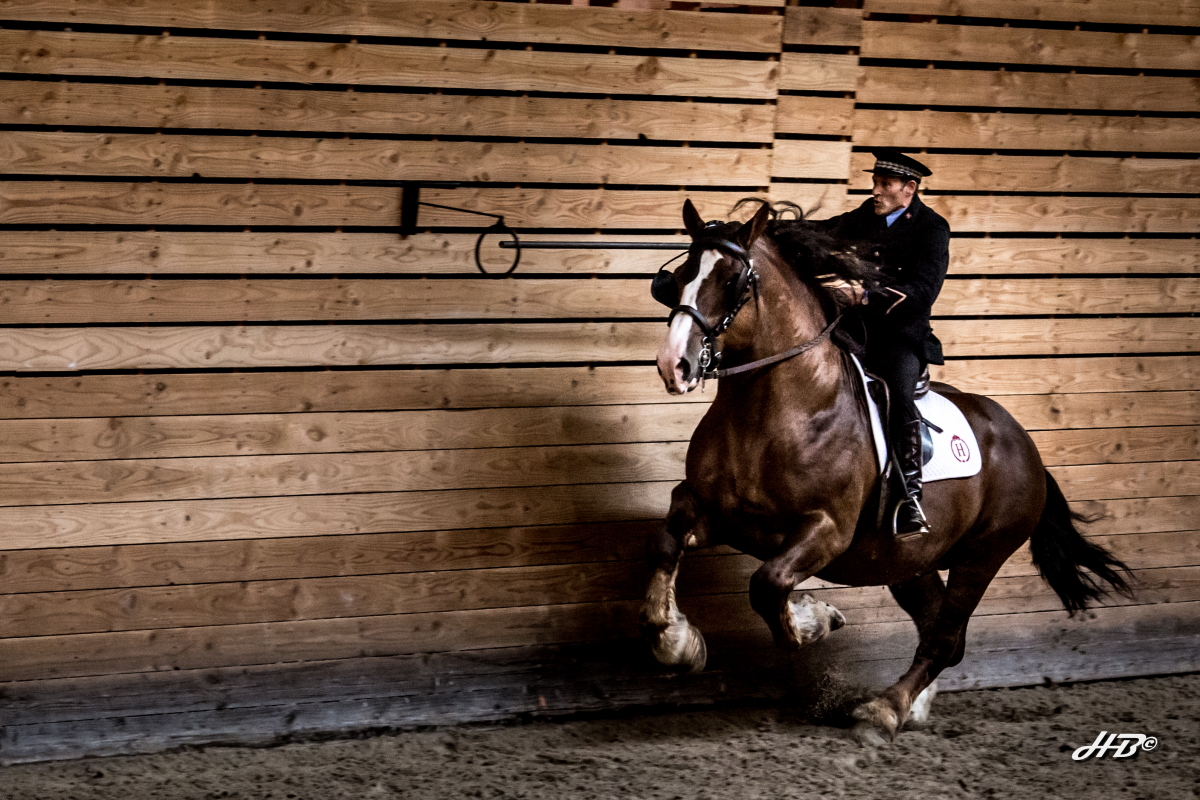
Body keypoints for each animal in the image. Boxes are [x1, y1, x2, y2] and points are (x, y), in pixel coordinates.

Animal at [640, 198, 1134, 744]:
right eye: (680, 274)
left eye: (733, 281)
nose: (674, 365)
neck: (777, 411)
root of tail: (1028, 449)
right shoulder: (716, 513)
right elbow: (667, 539)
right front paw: (677, 643)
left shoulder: (826, 531)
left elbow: (768, 585)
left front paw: (817, 618)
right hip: (910, 562)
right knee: (942, 632)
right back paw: (912, 708)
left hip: (982, 556)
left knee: (943, 640)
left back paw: (883, 710)